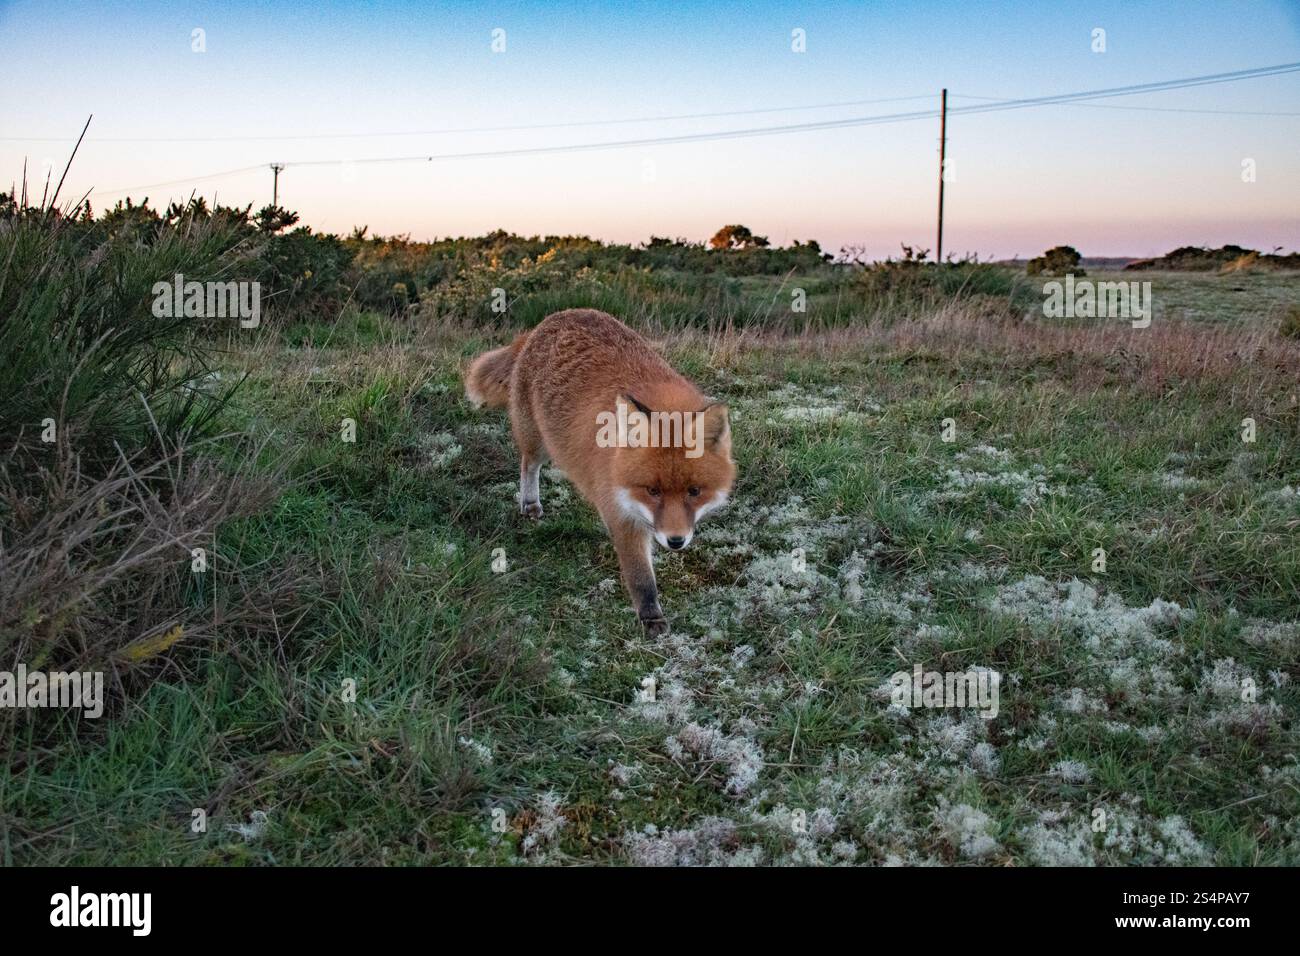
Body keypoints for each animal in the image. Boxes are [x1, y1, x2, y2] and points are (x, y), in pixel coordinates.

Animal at [465, 308, 735, 635]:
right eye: (652, 490)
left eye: (694, 492)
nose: (675, 541)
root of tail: (552, 318)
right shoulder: (623, 517)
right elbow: (641, 578)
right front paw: (651, 617)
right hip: (540, 441)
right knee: (528, 464)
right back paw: (529, 503)